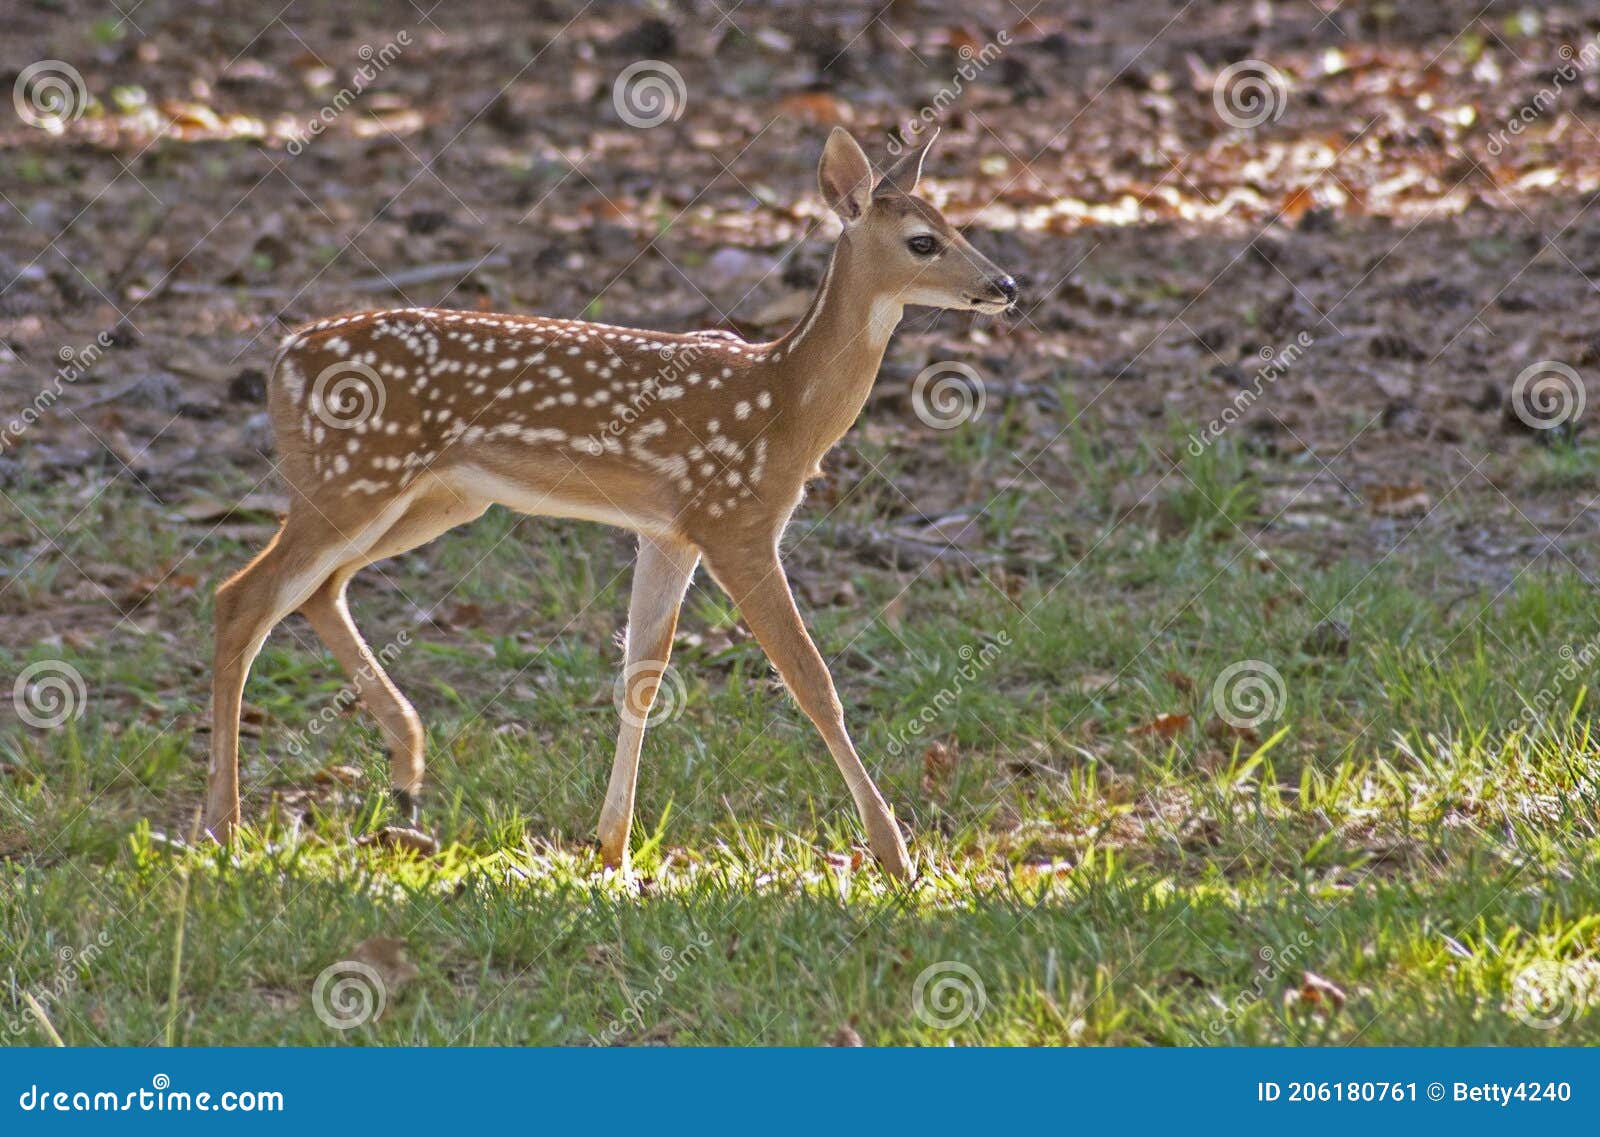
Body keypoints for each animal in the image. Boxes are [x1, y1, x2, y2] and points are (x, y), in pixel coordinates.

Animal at [205, 126, 1016, 880]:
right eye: (923, 240)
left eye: (958, 223)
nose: (1006, 284)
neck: (785, 403)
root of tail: (281, 360)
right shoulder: (736, 521)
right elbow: (813, 681)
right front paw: (895, 855)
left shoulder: (669, 532)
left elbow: (641, 680)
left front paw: (611, 849)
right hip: (354, 475)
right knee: (243, 595)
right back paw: (224, 826)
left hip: (436, 497)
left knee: (317, 590)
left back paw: (405, 766)